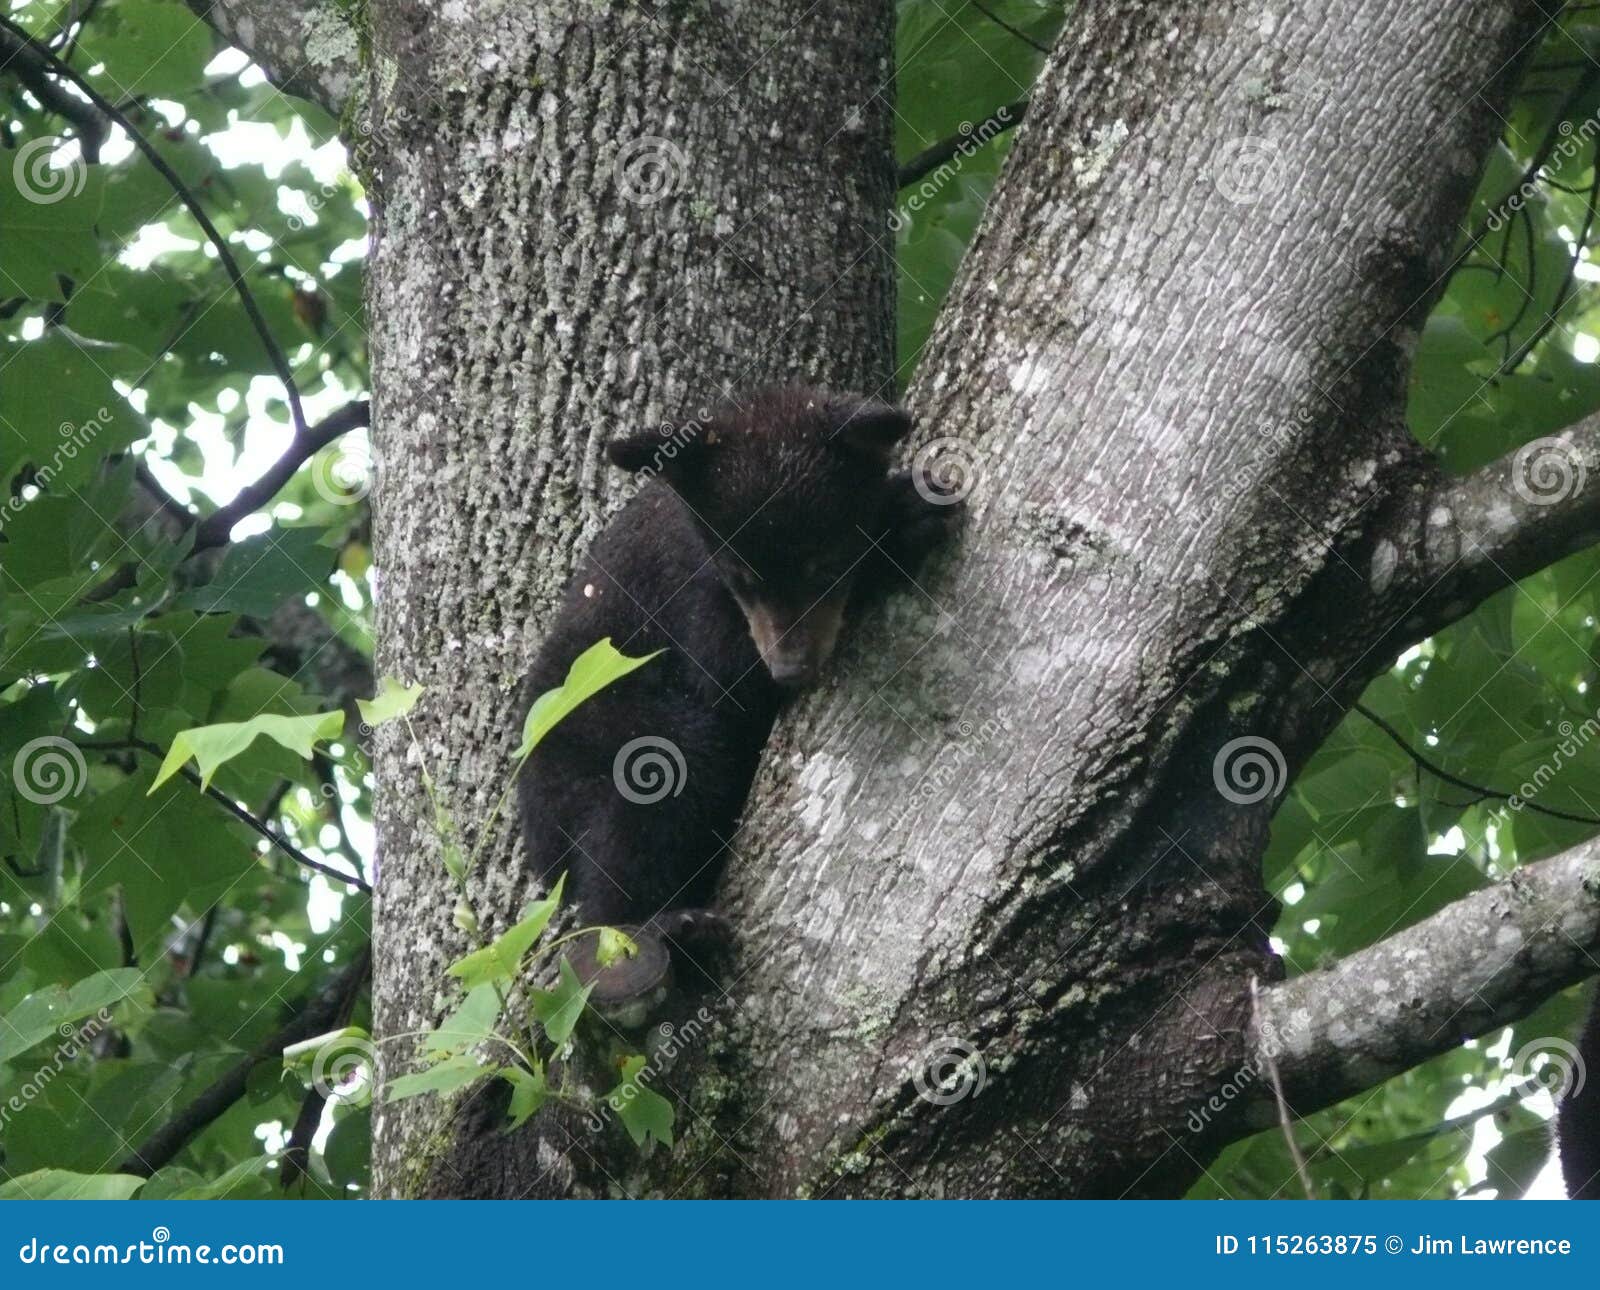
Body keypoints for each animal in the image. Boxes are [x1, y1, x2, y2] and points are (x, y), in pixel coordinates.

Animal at [515, 385, 962, 1002]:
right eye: (741, 574)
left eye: (822, 562)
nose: (791, 669)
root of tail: (534, 829)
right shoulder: (689, 593)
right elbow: (726, 682)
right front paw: (898, 521)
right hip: (589, 736)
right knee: (657, 786)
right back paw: (662, 926)